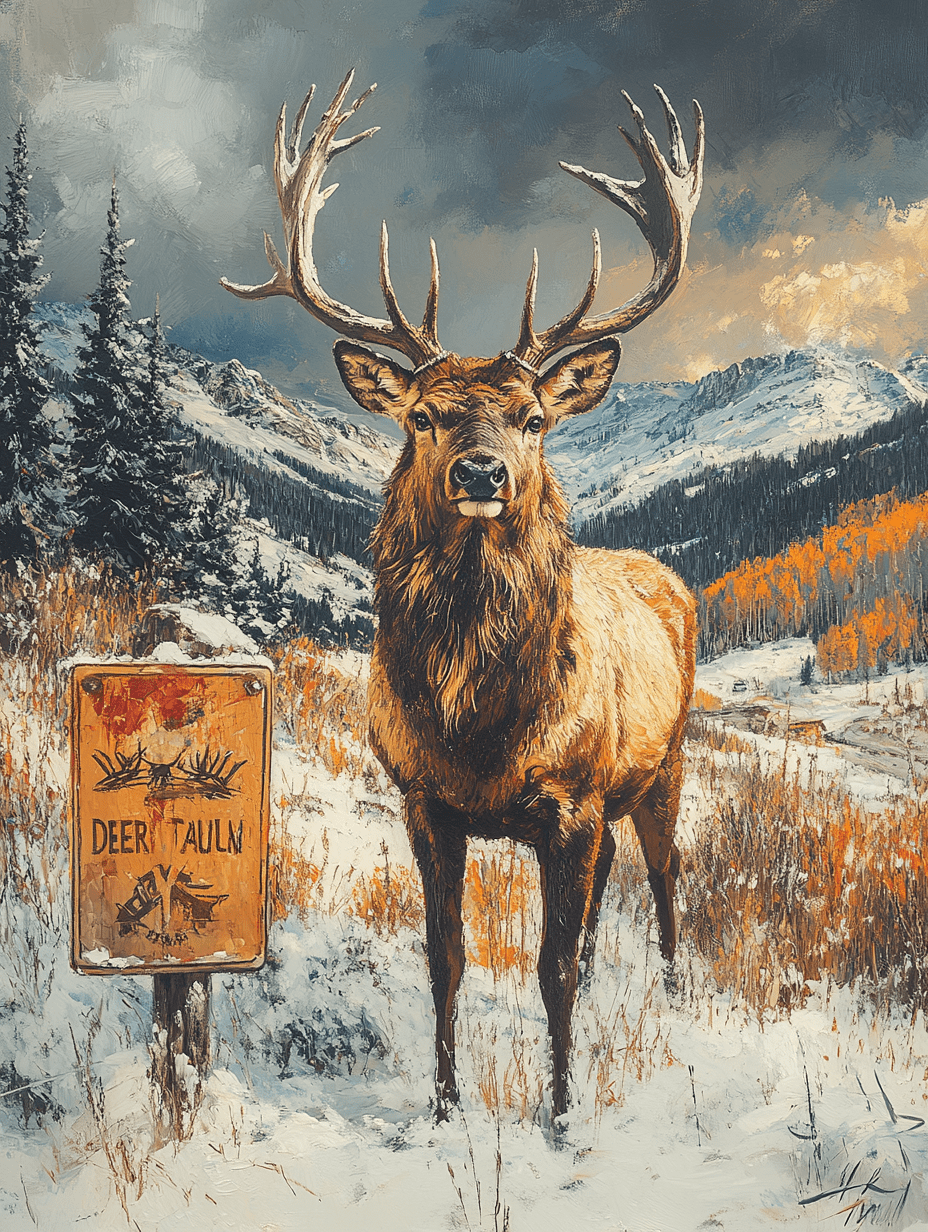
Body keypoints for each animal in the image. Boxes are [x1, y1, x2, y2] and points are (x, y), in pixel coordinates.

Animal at [222, 70, 703, 1128]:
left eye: (533, 418)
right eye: (423, 416)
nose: (482, 472)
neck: (480, 726)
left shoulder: (567, 799)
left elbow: (547, 969)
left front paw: (561, 1115)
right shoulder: (424, 798)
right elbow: (444, 960)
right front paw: (444, 1107)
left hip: (662, 763)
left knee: (664, 876)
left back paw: (672, 995)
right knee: (613, 881)